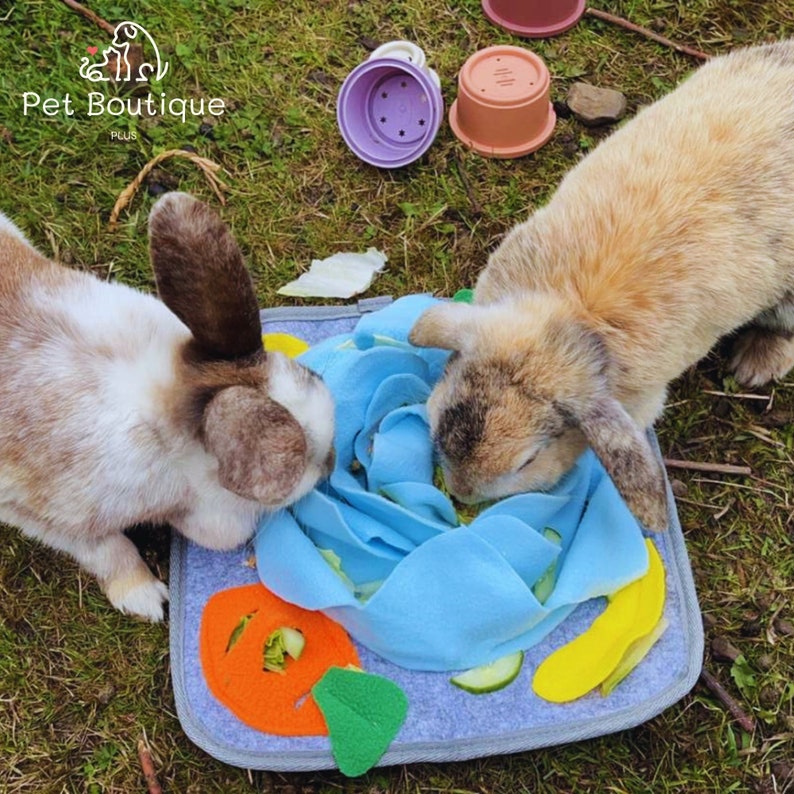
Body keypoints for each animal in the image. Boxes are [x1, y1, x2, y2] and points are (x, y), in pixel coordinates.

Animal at [0, 192, 335, 621]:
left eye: (313, 374)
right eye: (294, 468)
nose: (332, 463)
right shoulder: (45, 517)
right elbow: (108, 551)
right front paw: (145, 599)